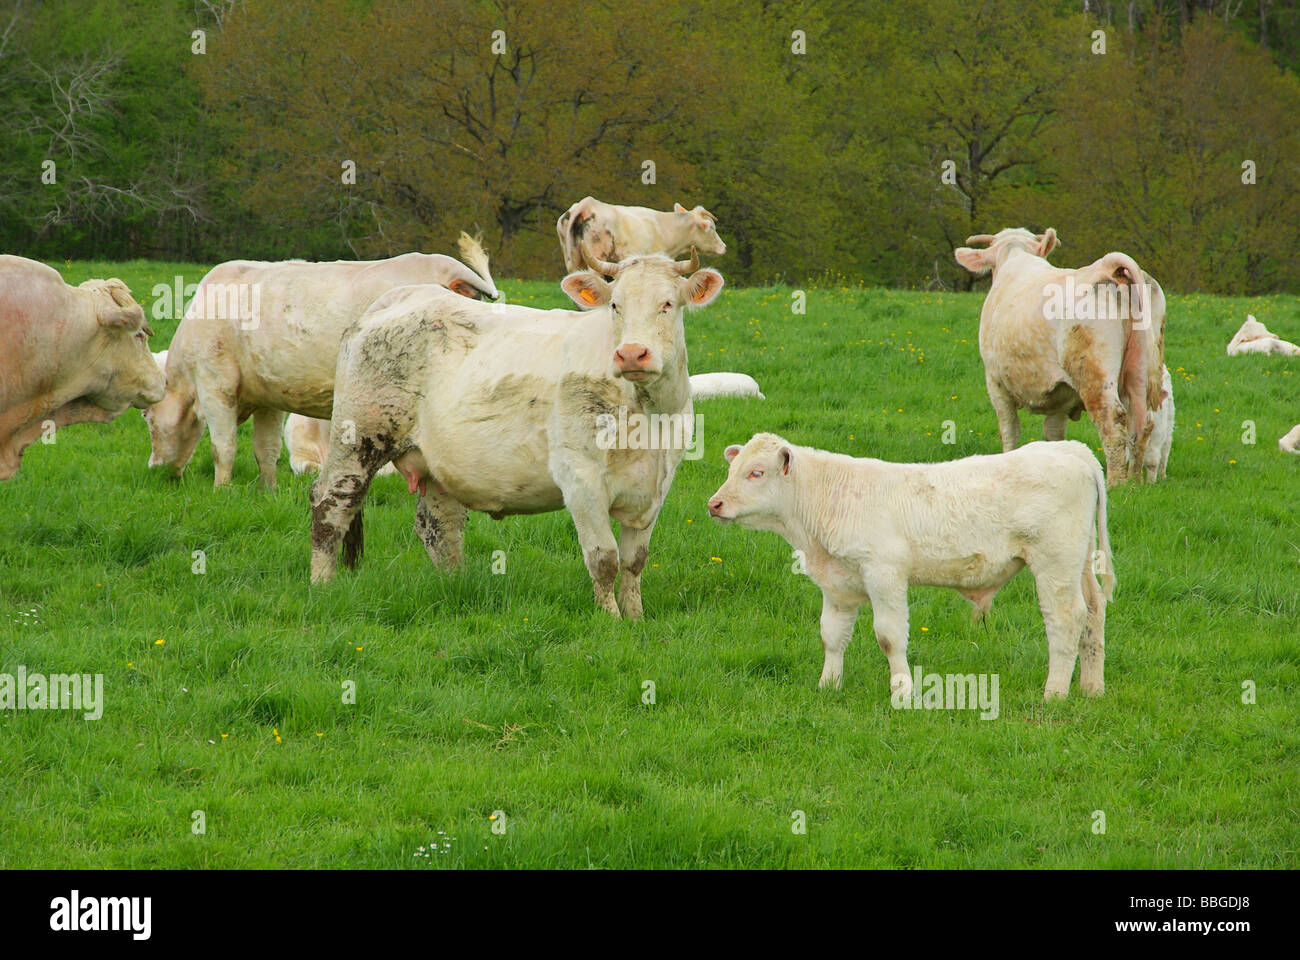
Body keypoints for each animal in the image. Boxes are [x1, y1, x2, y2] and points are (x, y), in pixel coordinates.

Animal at [145, 234, 499, 489]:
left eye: (147, 416)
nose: (155, 468)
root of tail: (444, 265)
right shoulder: (268, 397)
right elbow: (266, 450)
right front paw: (268, 492)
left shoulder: (215, 384)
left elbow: (223, 447)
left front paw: (222, 491)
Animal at [309, 246, 724, 618]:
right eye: (615, 306)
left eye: (668, 303)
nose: (632, 353)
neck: (649, 414)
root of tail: (400, 297)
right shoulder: (581, 479)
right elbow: (604, 559)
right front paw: (612, 621)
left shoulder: (656, 485)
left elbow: (634, 561)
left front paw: (636, 618)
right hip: (357, 437)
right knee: (330, 504)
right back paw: (321, 585)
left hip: (436, 465)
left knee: (438, 528)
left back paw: (453, 583)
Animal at [707, 434, 1114, 701]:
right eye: (732, 467)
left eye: (756, 473)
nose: (714, 504)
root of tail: (1070, 449)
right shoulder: (838, 585)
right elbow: (831, 635)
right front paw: (828, 685)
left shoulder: (884, 574)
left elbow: (889, 636)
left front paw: (902, 692)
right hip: (1080, 563)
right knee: (1094, 614)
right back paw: (1092, 688)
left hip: (1055, 563)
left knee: (1066, 618)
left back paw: (1055, 693)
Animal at [954, 228, 1166, 487]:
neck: (1016, 255)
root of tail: (1108, 267)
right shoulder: (1060, 395)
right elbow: (1054, 434)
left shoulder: (995, 382)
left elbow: (1009, 430)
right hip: (1141, 371)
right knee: (1143, 423)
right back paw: (1135, 482)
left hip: (1094, 374)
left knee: (1113, 422)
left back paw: (1116, 483)